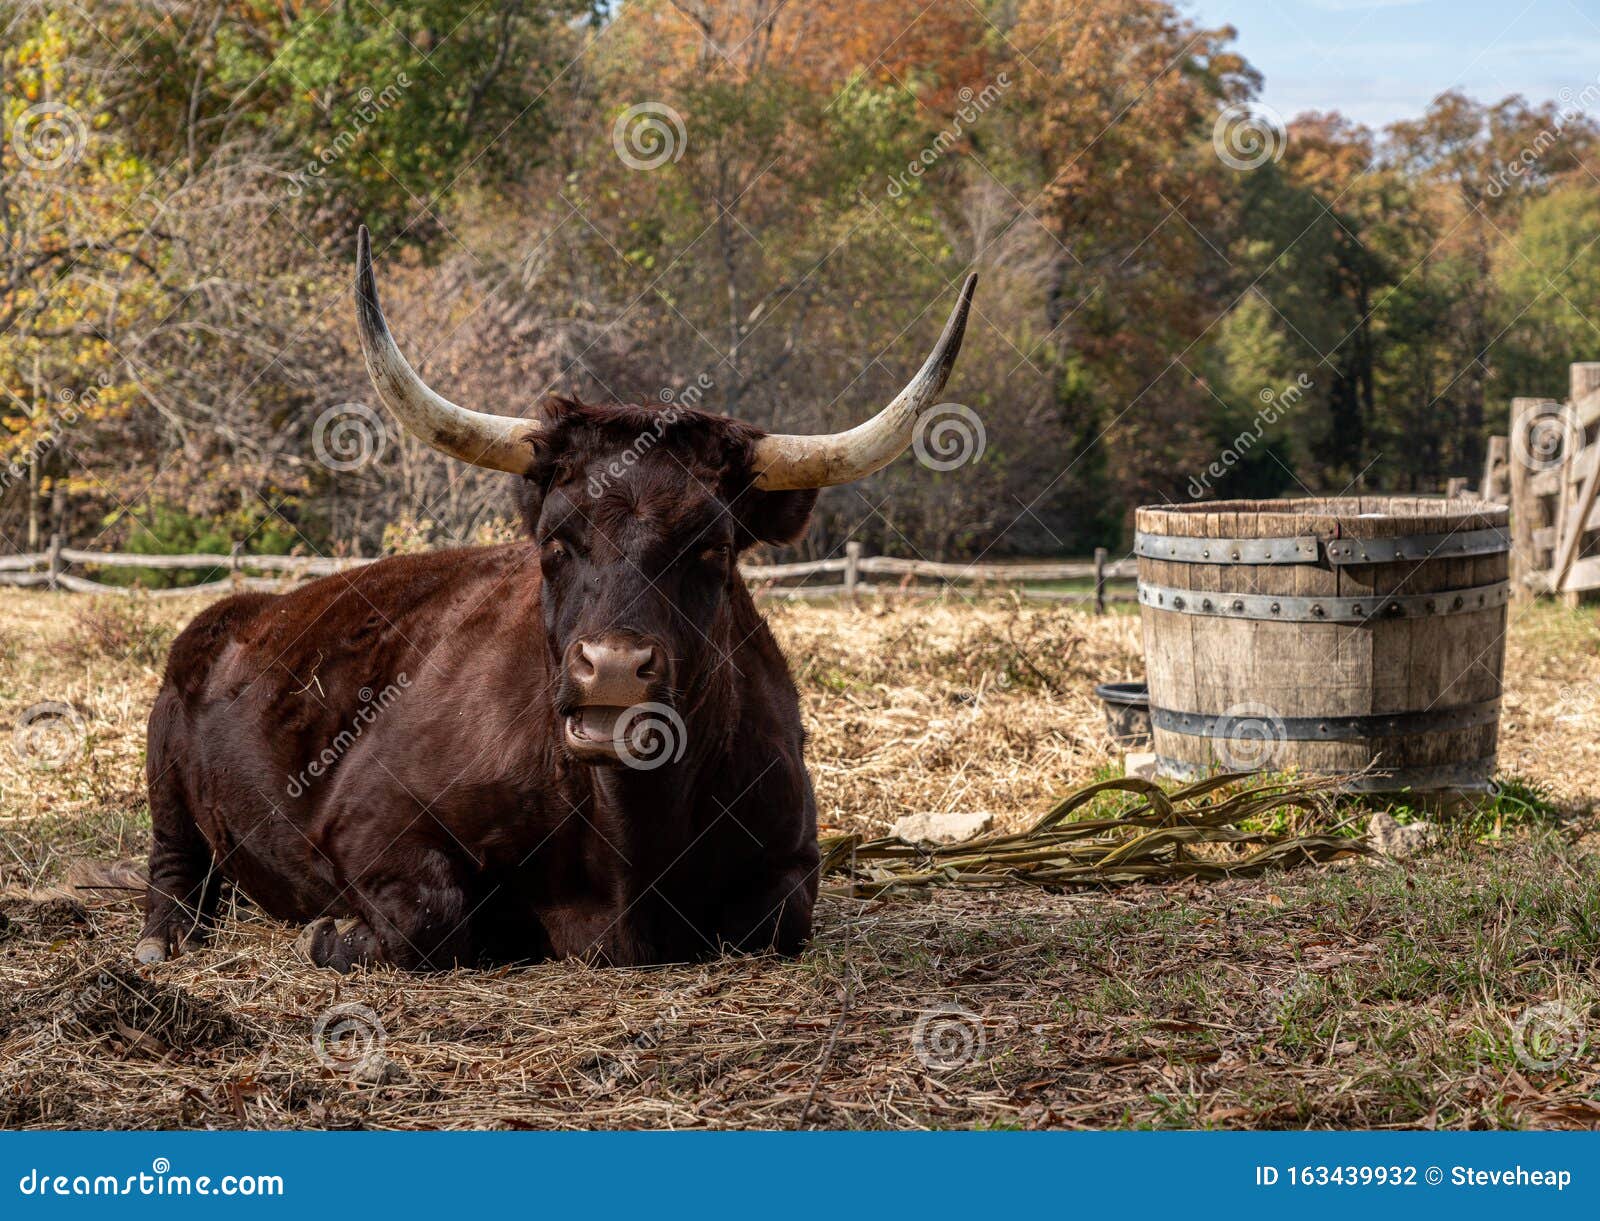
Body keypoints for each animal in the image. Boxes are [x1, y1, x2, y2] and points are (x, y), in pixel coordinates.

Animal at [136, 225, 975, 972]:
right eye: (555, 543)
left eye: (712, 547)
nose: (613, 668)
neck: (629, 842)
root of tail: (243, 608)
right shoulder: (369, 817)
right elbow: (430, 915)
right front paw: (330, 934)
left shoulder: (793, 857)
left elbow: (774, 919)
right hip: (166, 766)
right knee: (174, 864)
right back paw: (164, 938)